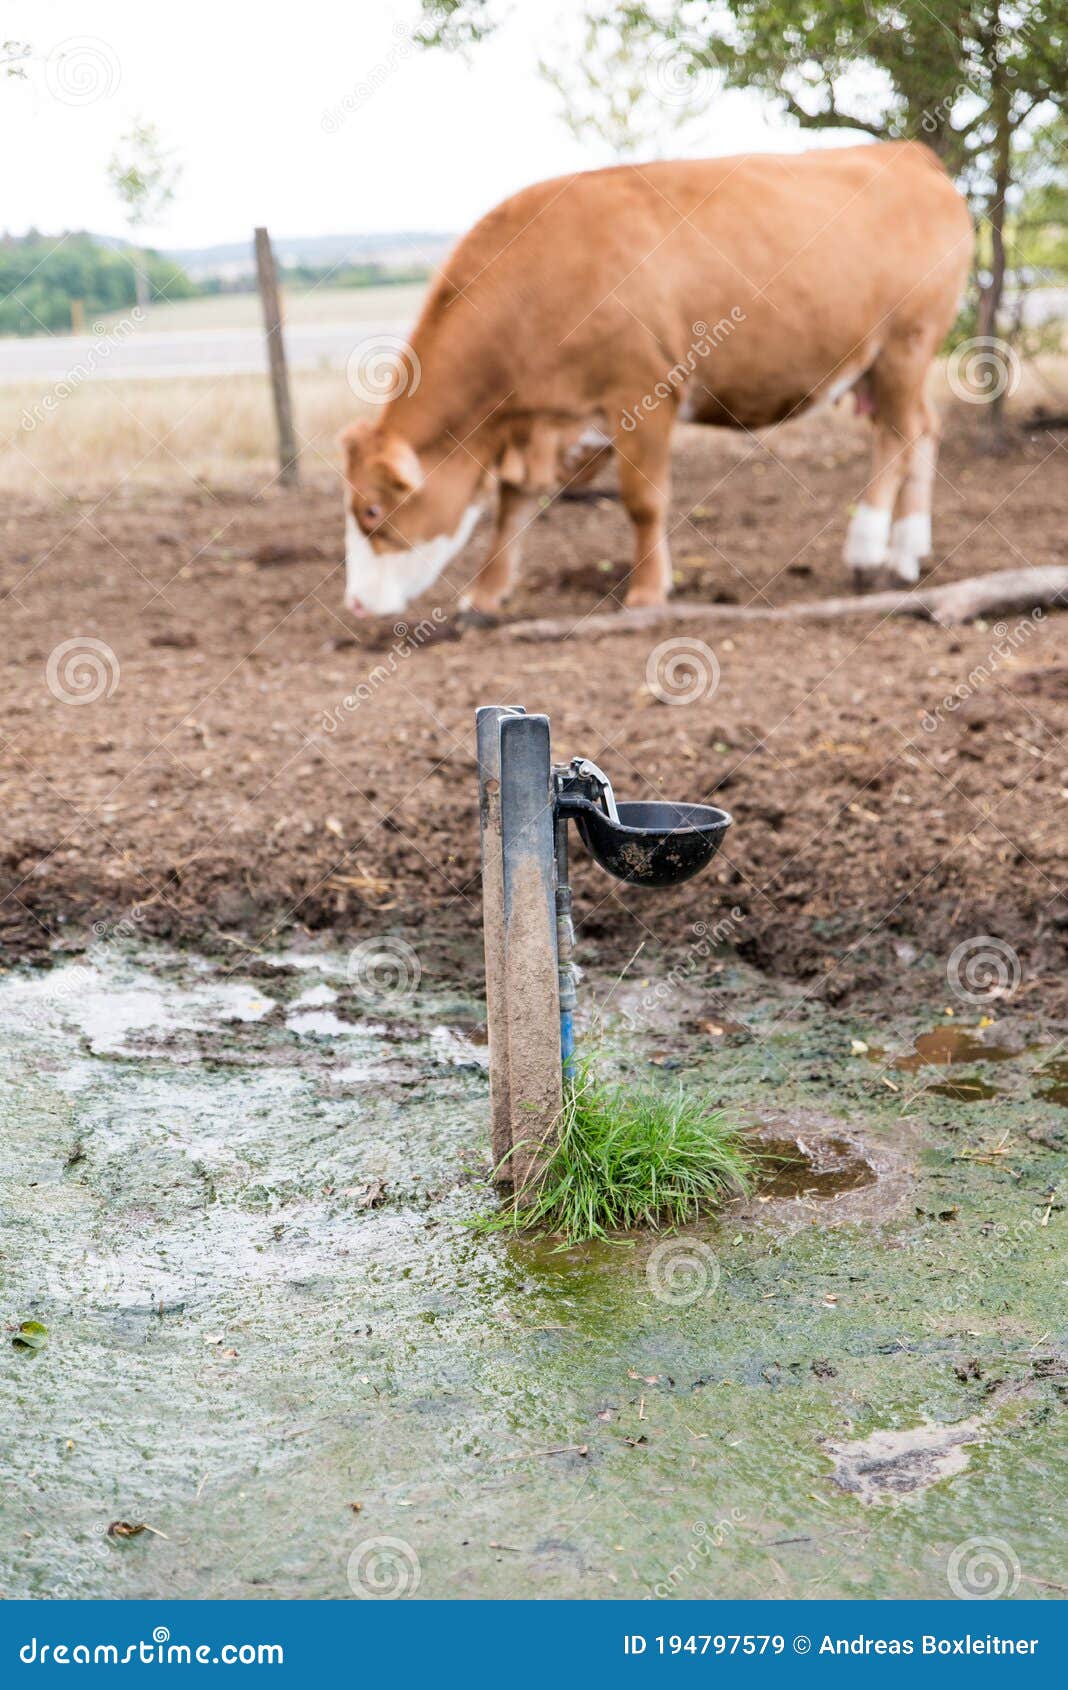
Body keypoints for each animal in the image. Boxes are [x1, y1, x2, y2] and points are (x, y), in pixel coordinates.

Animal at [340, 142, 973, 618]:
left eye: (371, 511)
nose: (355, 604)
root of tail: (906, 152)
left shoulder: (642, 393)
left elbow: (642, 500)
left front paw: (646, 592)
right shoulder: (534, 420)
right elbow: (512, 505)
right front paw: (487, 593)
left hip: (904, 344)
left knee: (897, 437)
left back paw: (868, 550)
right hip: (894, 364)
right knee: (925, 429)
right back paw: (908, 551)